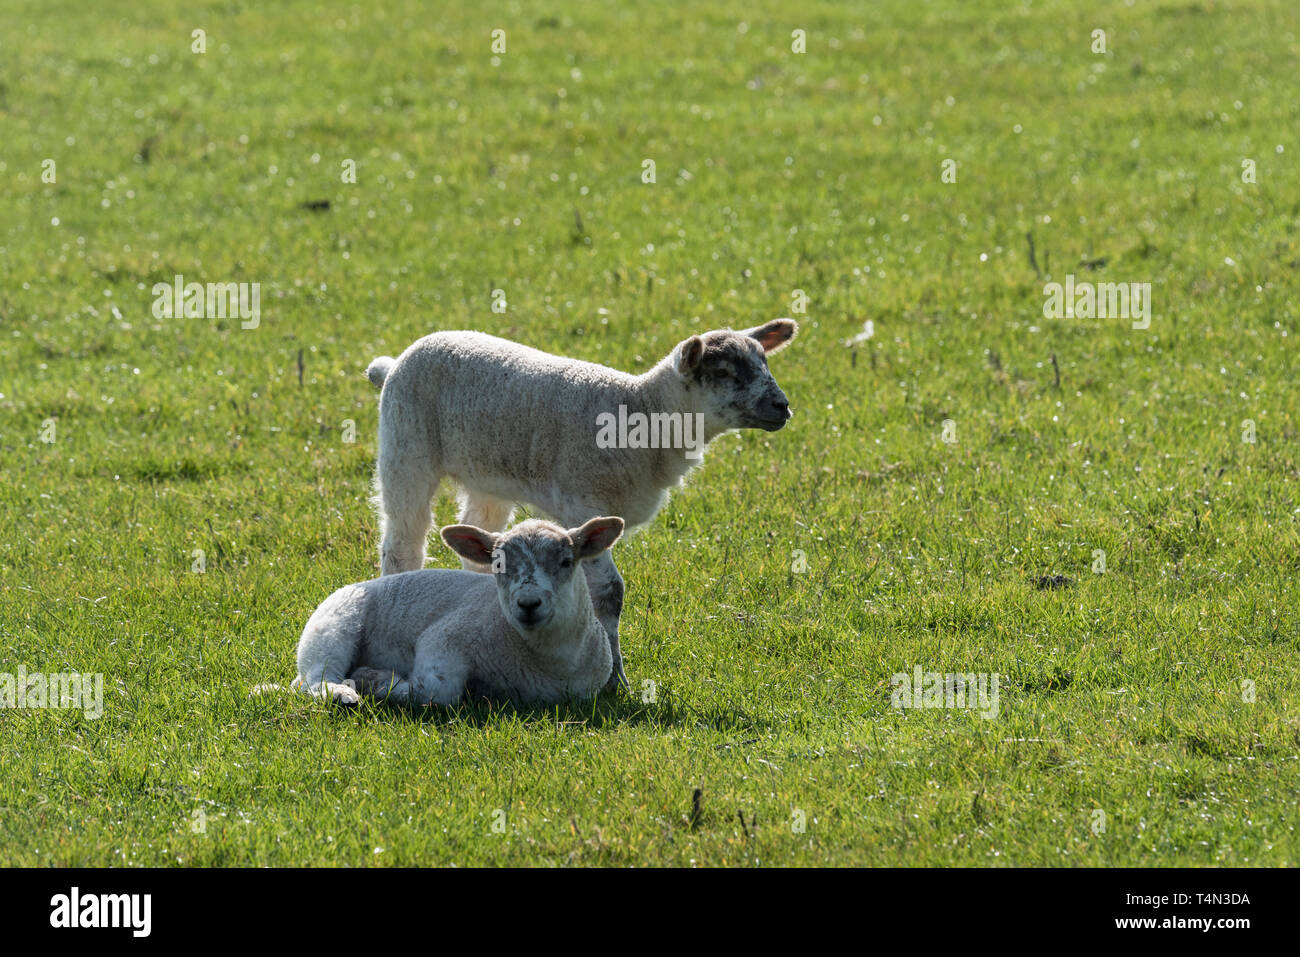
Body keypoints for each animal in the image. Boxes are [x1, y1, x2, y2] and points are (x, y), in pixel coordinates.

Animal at [292, 516, 624, 707]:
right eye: (497, 565)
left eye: (566, 561)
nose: (528, 603)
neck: (549, 661)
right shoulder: (445, 637)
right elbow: (436, 693)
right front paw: (372, 678)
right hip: (334, 625)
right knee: (316, 678)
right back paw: (342, 694)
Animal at [366, 319, 799, 692]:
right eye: (724, 372)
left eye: (764, 361)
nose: (782, 406)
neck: (644, 414)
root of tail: (393, 364)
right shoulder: (583, 502)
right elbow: (609, 593)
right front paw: (615, 681)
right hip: (404, 445)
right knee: (402, 543)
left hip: (487, 475)